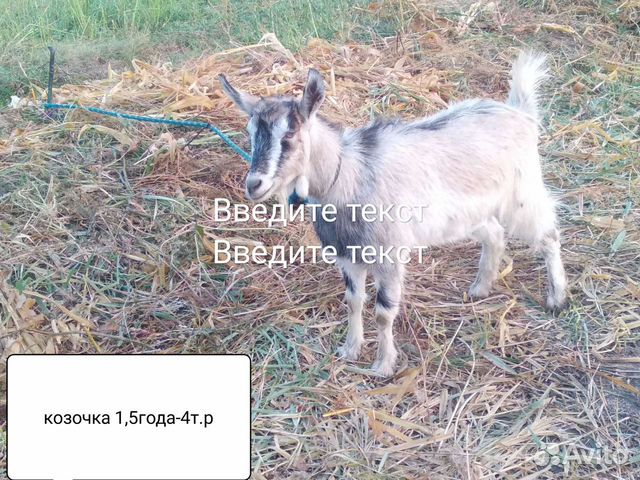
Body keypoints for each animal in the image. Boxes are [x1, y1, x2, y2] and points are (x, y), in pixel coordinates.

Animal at [219, 52, 568, 377]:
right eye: (250, 133)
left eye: (289, 136)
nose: (254, 184)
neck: (350, 174)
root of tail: (519, 111)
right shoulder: (347, 254)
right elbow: (353, 301)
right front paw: (350, 349)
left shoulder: (388, 255)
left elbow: (383, 312)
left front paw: (383, 365)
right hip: (469, 212)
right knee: (494, 234)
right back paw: (480, 287)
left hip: (521, 193)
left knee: (548, 234)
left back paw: (557, 298)